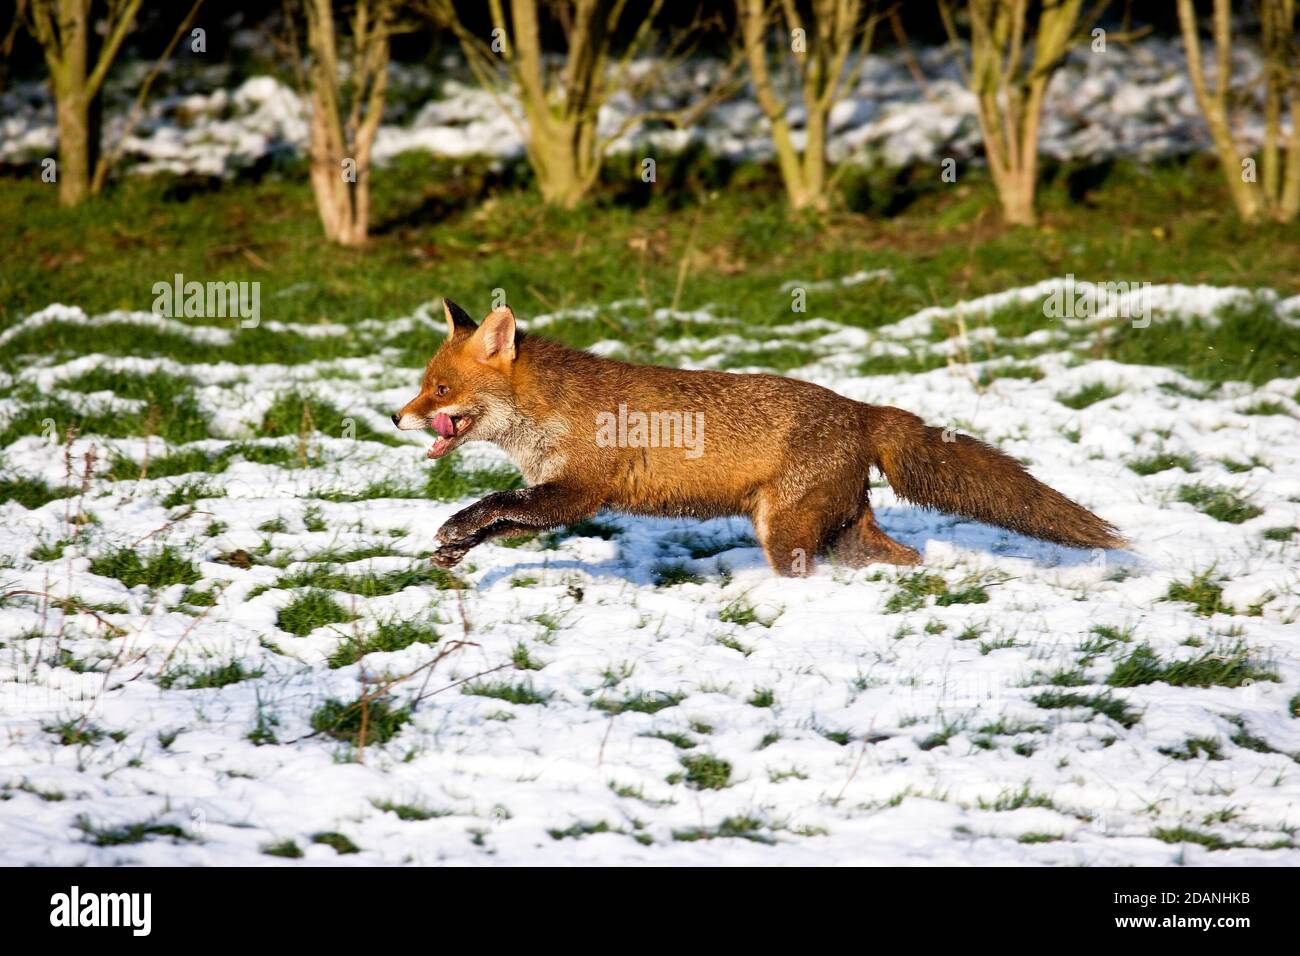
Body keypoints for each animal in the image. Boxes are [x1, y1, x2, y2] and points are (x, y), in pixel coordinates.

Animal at [393, 299, 1126, 576]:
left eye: (439, 389)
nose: (396, 418)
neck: (549, 410)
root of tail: (858, 408)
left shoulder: (577, 492)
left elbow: (494, 505)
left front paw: (456, 530)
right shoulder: (556, 495)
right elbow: (499, 521)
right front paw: (454, 549)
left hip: (785, 533)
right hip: (844, 531)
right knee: (905, 558)